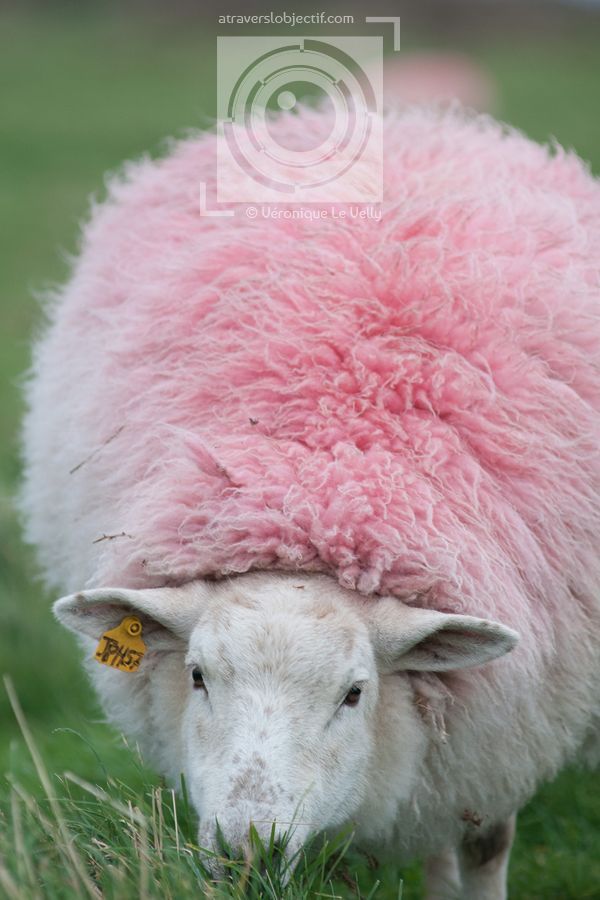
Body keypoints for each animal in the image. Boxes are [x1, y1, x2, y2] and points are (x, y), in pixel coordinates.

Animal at [21, 105, 600, 899]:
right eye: (197, 677)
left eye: (354, 694)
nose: (248, 852)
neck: (324, 481)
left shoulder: (497, 744)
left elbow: (486, 847)